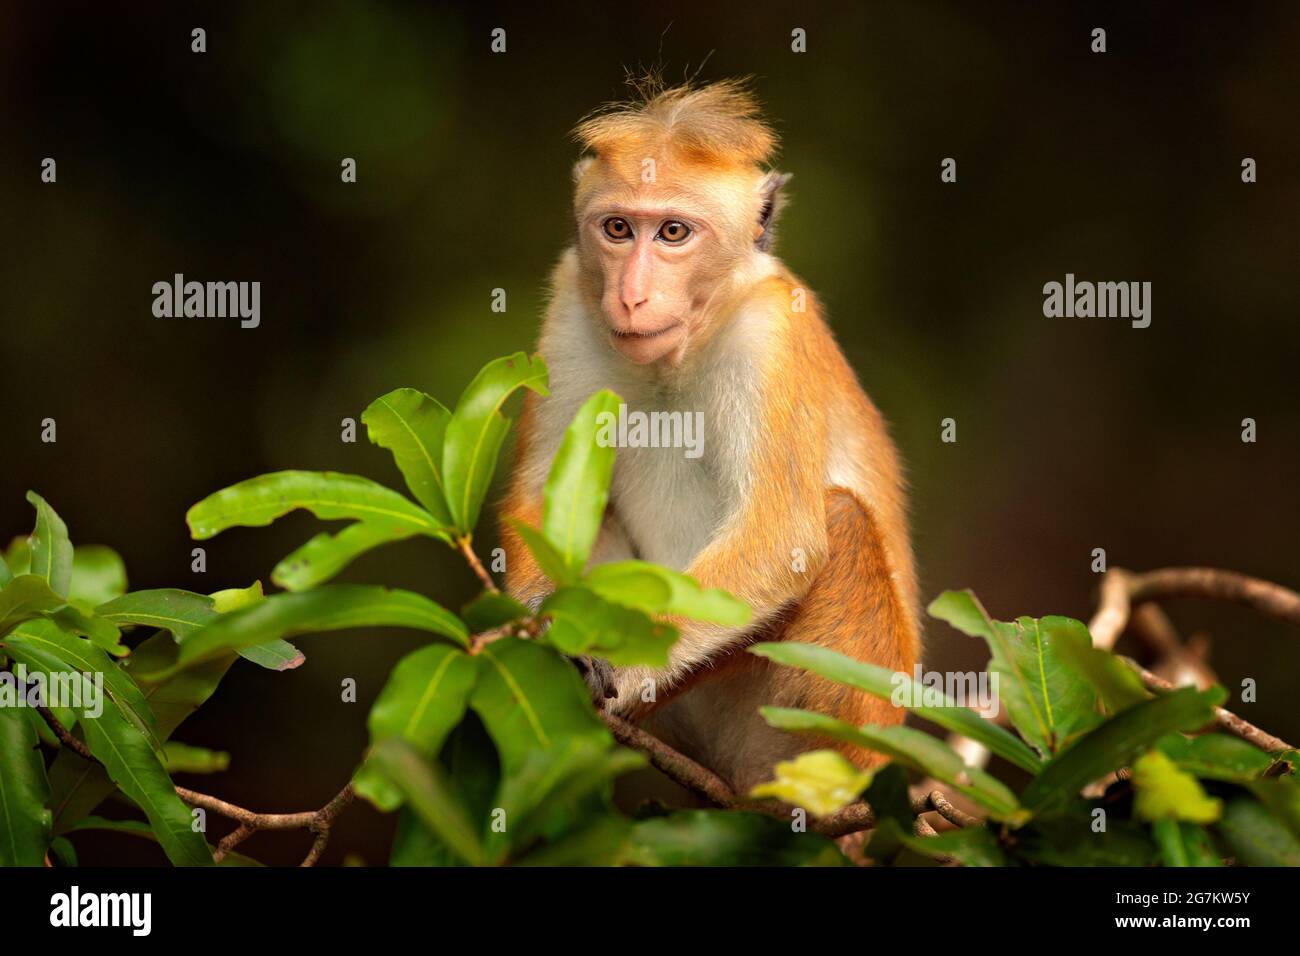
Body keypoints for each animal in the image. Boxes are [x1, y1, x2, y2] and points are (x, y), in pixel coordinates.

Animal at [500, 79, 920, 793]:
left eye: (673, 232)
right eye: (618, 228)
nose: (631, 295)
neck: (681, 353)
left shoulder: (772, 332)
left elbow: (780, 541)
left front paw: (605, 666)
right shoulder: (571, 305)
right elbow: (535, 498)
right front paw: (537, 630)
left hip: (842, 722)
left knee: (841, 520)